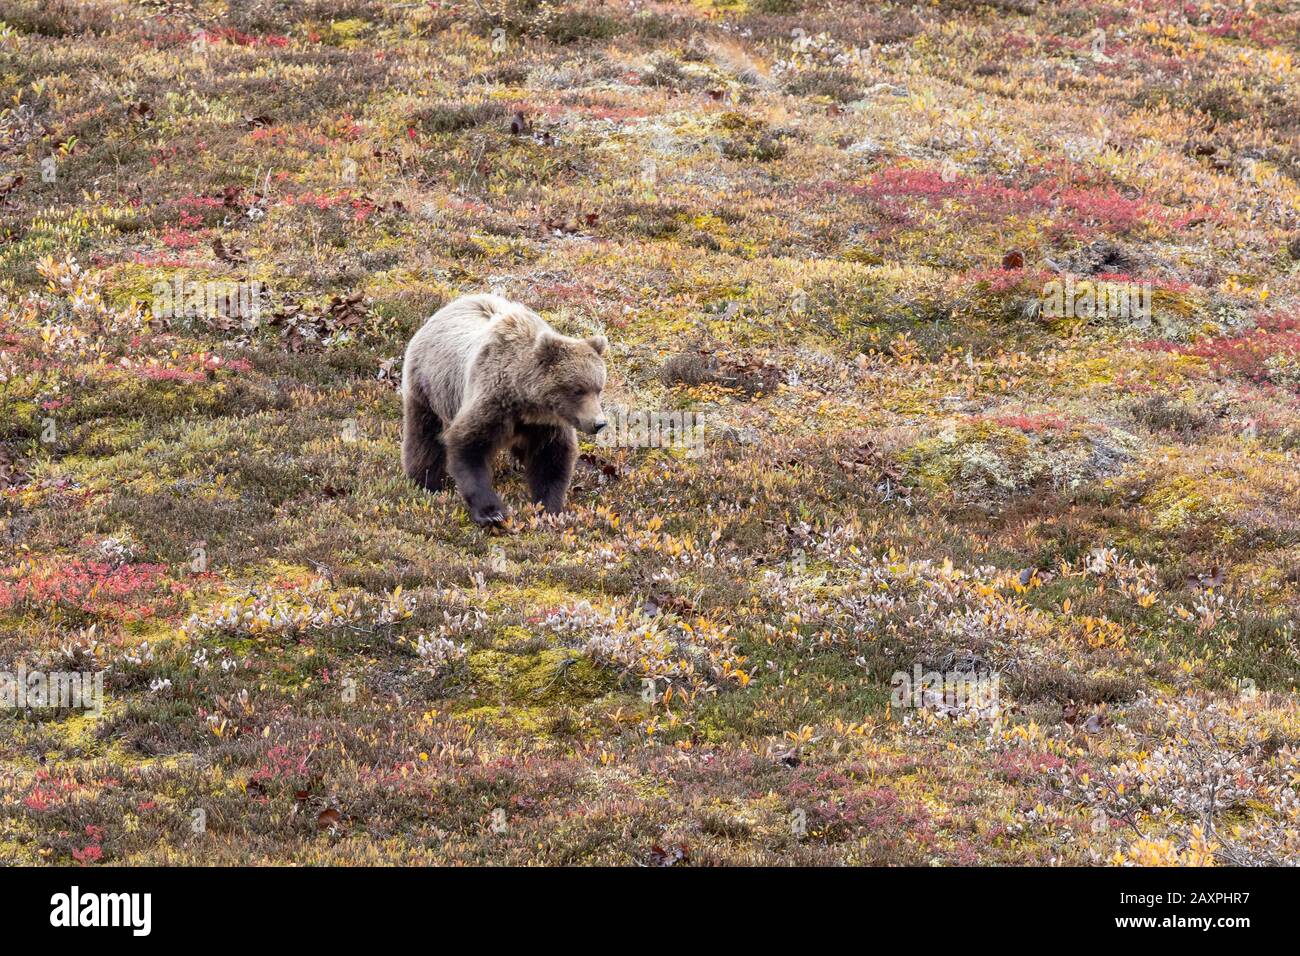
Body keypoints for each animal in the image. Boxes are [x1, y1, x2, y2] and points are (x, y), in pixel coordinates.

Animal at [401, 294, 608, 526]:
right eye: (578, 390)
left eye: (598, 388)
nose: (599, 423)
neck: (526, 402)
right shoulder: (491, 400)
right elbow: (467, 448)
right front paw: (491, 512)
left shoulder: (545, 425)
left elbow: (552, 460)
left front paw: (549, 508)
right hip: (429, 387)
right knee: (424, 437)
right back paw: (425, 482)